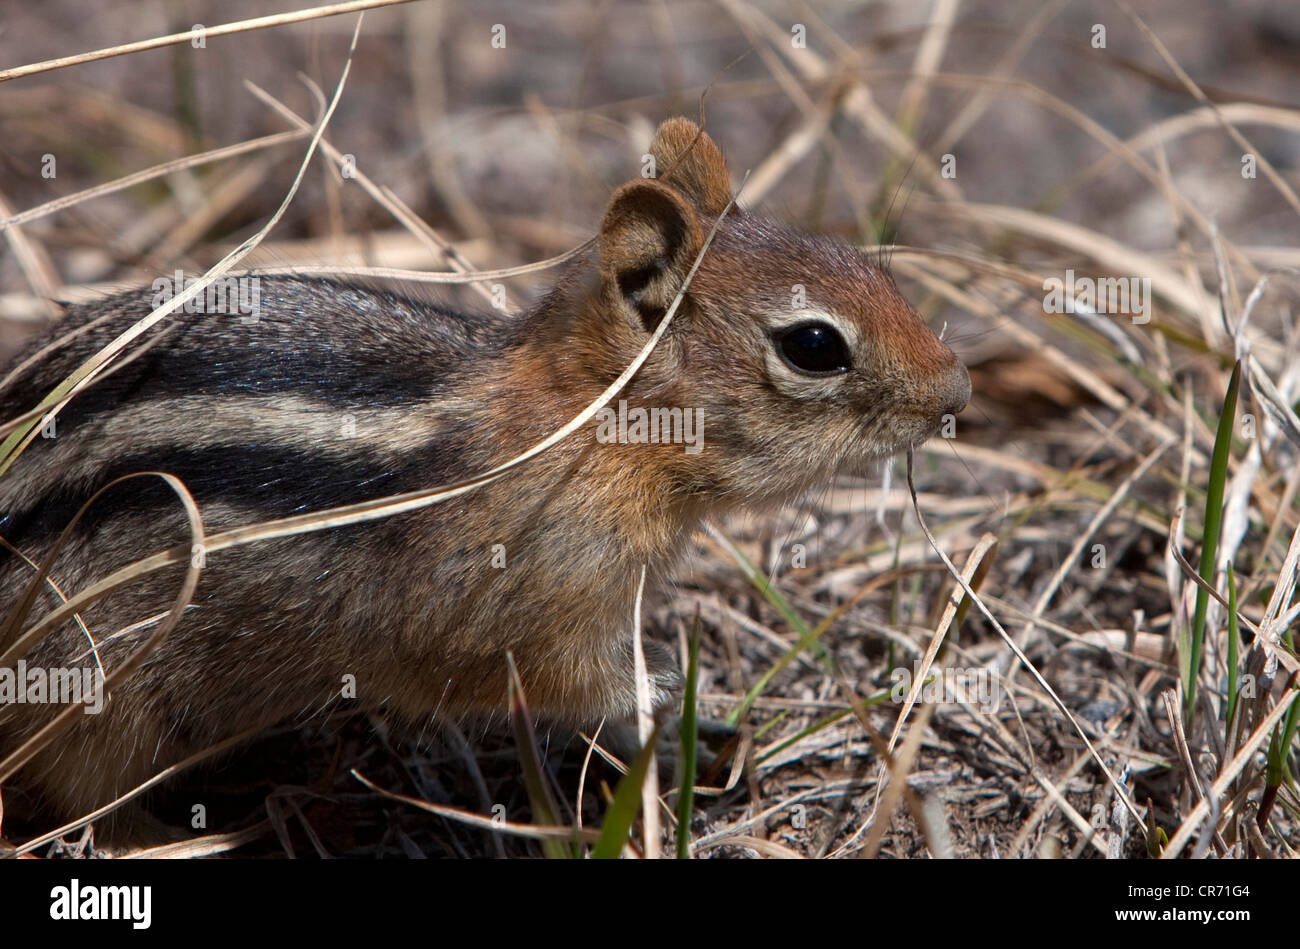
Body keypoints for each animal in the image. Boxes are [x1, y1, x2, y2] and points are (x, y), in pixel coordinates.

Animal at [0, 118, 969, 834]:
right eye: (815, 345)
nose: (955, 392)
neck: (591, 428)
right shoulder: (533, 606)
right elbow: (562, 680)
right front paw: (679, 700)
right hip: (96, 695)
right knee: (85, 800)